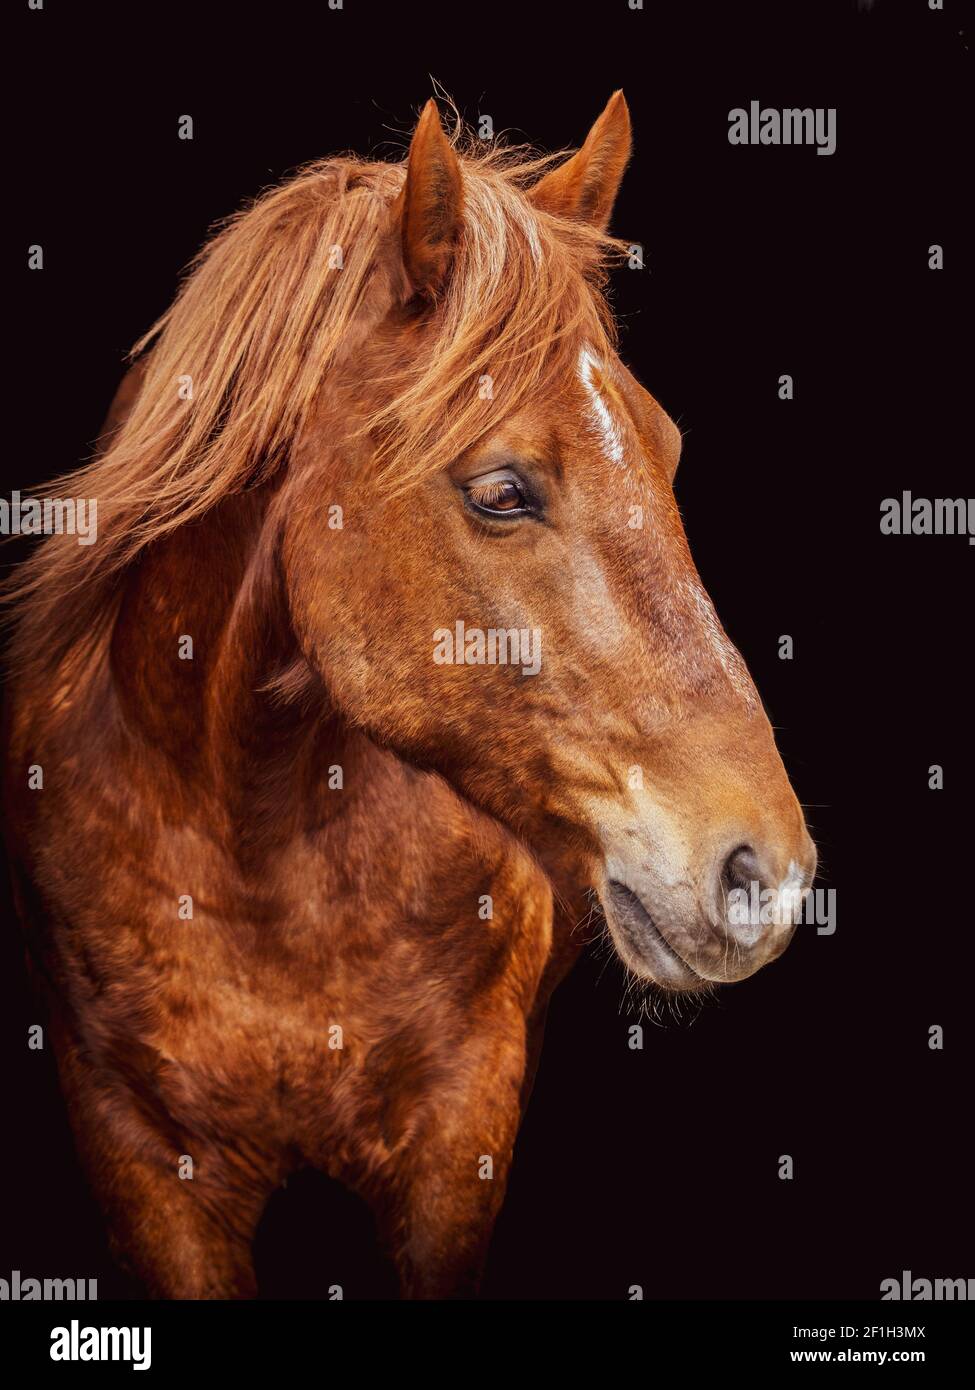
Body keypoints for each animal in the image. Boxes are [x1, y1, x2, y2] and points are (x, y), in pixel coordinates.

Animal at [3, 92, 816, 1299]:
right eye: (502, 490)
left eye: (666, 450)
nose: (766, 874)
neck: (252, 852)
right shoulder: (144, 1164)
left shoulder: (455, 1144)